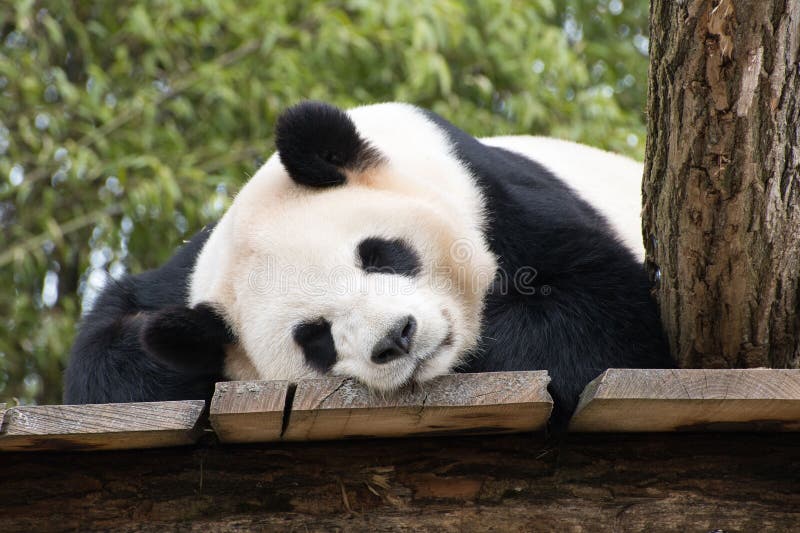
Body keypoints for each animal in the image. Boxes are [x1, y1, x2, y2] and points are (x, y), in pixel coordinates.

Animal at [64, 101, 673, 425]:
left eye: (379, 255)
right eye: (314, 337)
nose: (396, 338)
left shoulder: (492, 196)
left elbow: (593, 321)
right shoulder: (184, 278)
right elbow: (107, 358)